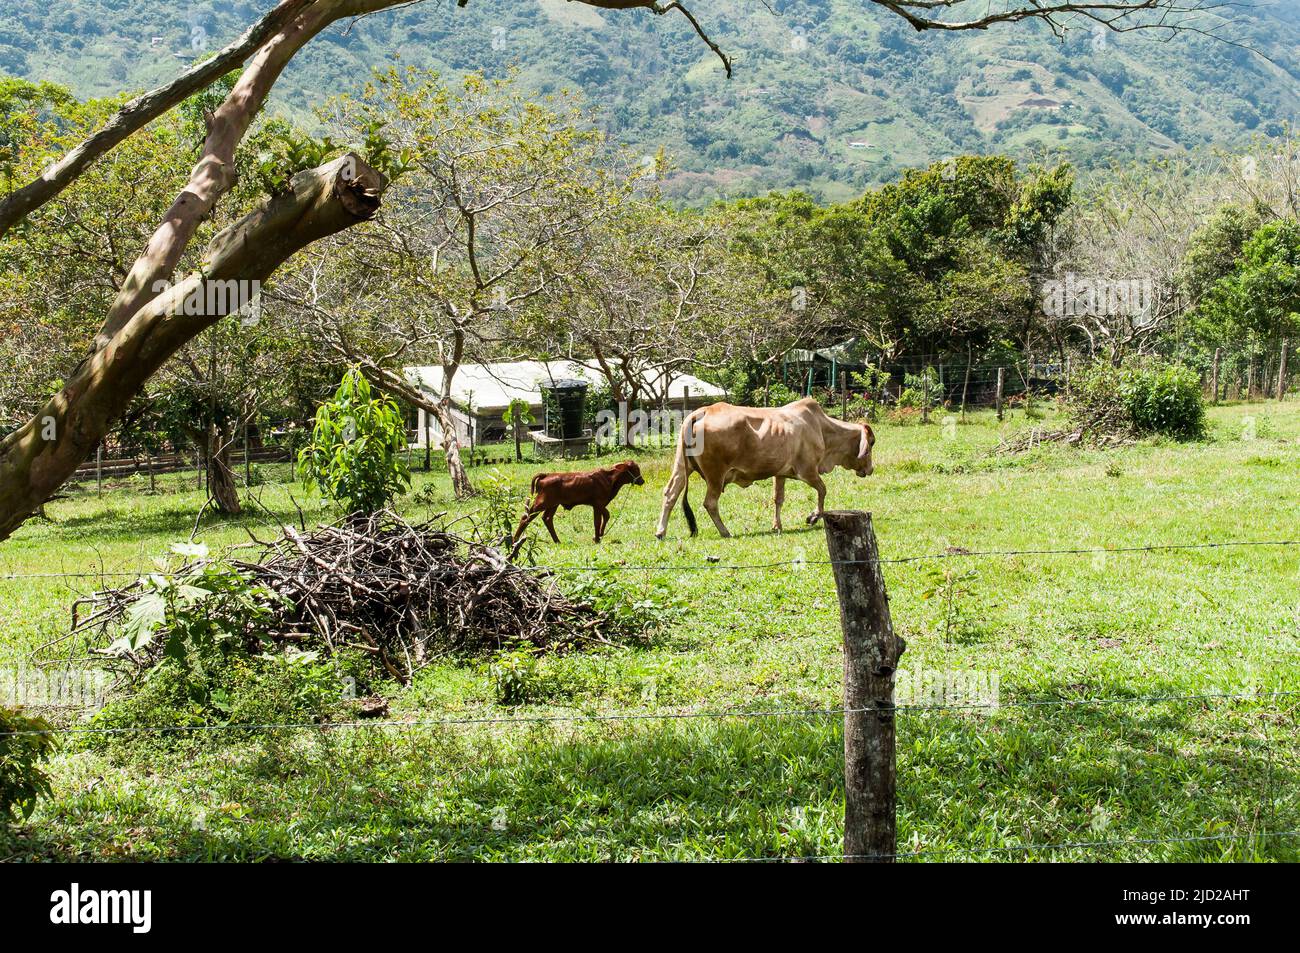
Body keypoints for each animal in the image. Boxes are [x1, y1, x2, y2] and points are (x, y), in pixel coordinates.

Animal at [515, 460, 645, 544]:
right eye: (635, 469)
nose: (642, 481)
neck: (609, 479)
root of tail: (547, 475)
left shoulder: (598, 505)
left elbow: (605, 516)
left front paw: (599, 535)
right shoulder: (598, 504)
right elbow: (599, 520)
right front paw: (597, 538)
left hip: (553, 505)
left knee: (547, 519)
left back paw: (557, 541)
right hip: (541, 503)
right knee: (525, 518)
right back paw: (515, 539)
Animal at [655, 398, 875, 539]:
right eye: (871, 442)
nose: (870, 469)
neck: (821, 428)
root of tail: (703, 411)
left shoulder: (780, 473)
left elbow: (778, 499)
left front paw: (777, 526)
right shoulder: (807, 471)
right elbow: (822, 490)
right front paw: (813, 517)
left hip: (681, 467)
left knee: (670, 494)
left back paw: (661, 532)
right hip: (715, 476)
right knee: (710, 503)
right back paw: (725, 532)